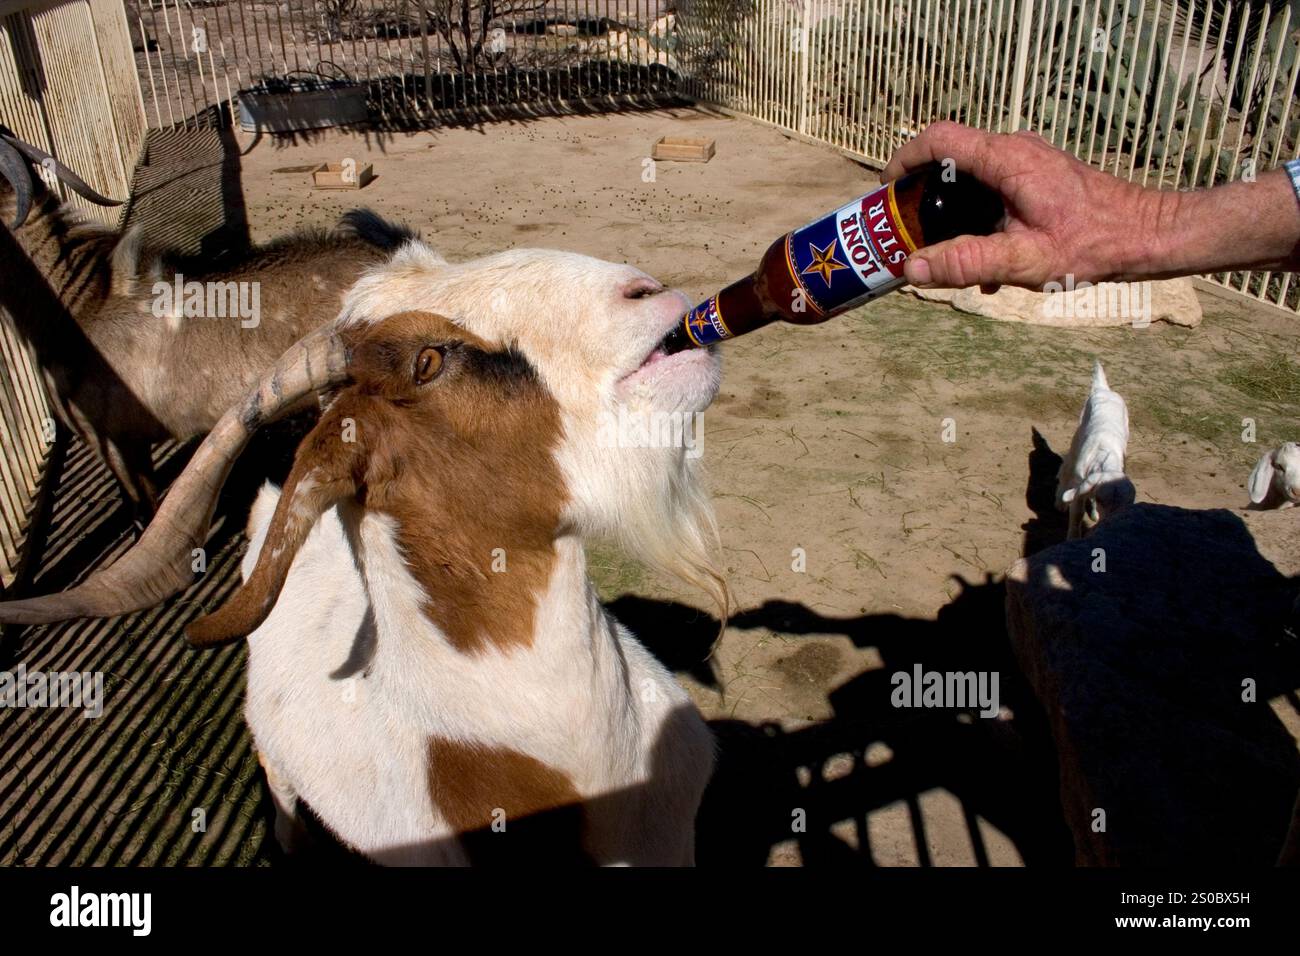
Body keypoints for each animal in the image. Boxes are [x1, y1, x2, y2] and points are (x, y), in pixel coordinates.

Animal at [1056, 360, 1136, 540]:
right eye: (1102, 500)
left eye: (1126, 505)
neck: (1106, 458)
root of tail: (1104, 389)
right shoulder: (1078, 485)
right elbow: (1077, 515)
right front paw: (1072, 538)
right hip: (1077, 436)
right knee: (1065, 469)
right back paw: (1059, 503)